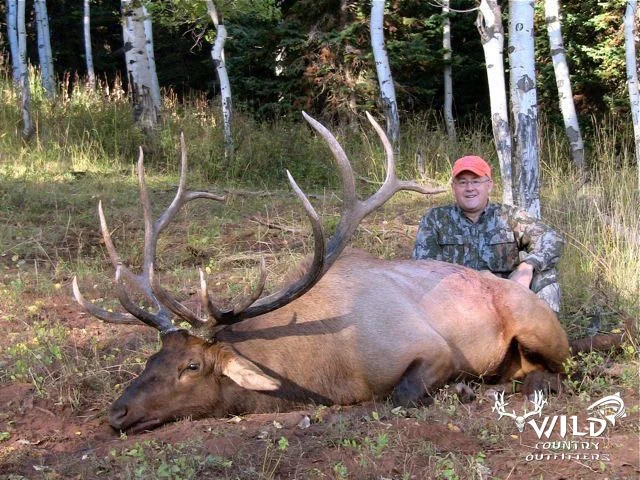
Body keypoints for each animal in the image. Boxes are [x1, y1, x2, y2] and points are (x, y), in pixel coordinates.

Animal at [72, 112, 572, 434]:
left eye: (191, 366)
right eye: (152, 358)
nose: (116, 414)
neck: (326, 372)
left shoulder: (433, 350)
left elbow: (401, 395)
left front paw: (464, 389)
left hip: (539, 327)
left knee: (555, 371)